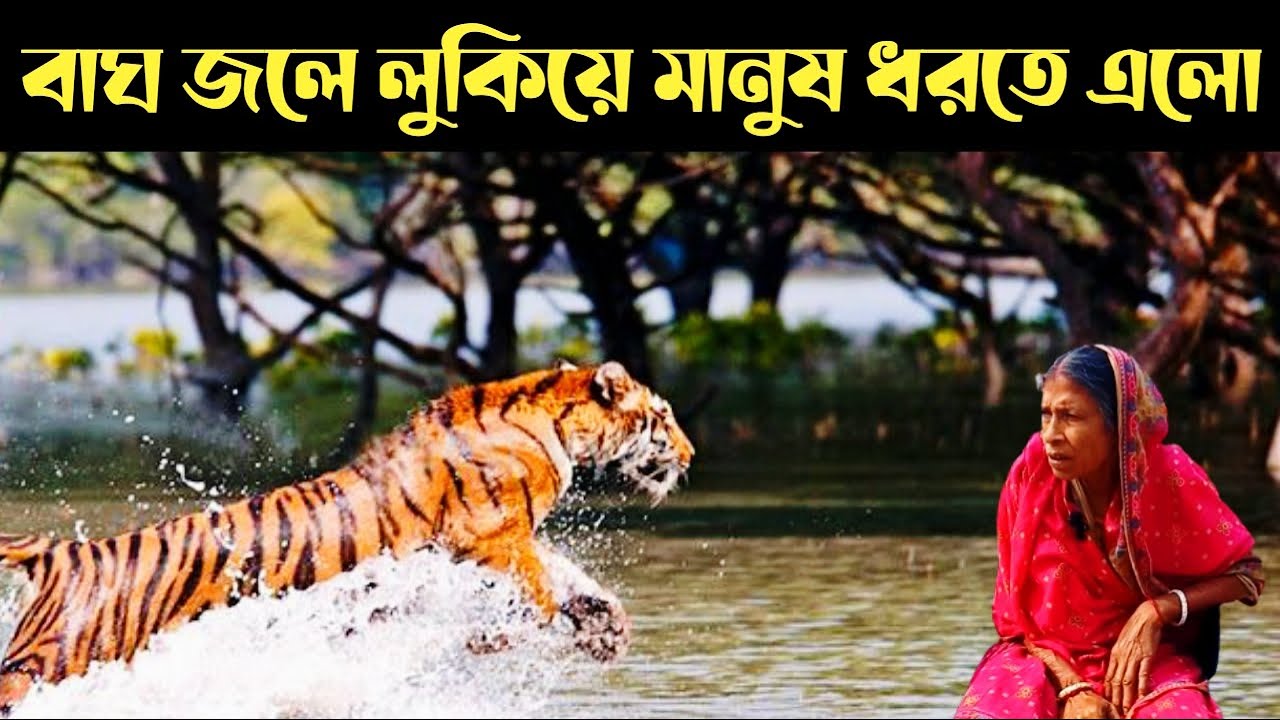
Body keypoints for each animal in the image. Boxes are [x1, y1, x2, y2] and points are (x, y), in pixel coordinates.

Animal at [0, 359, 695, 715]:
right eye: (662, 416)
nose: (689, 455)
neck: (553, 417)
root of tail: (62, 551)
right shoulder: (490, 538)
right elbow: (540, 594)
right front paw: (501, 638)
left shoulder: (498, 541)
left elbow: (565, 577)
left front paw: (605, 628)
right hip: (51, 661)